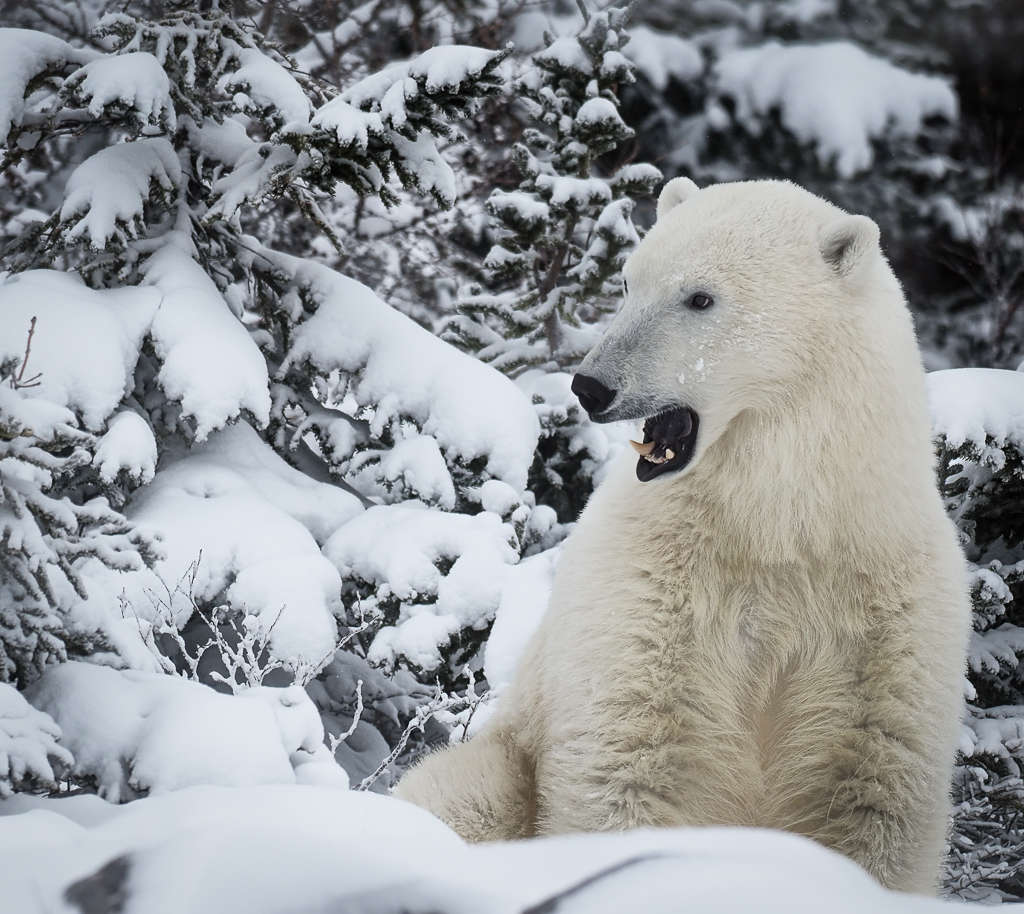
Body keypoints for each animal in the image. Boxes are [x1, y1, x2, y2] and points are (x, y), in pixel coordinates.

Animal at [395, 177, 971, 895]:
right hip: (503, 760)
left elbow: (876, 798)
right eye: (628, 280)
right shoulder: (650, 583)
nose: (590, 385)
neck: (779, 525)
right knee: (459, 795)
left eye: (700, 297)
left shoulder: (886, 612)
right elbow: (626, 761)